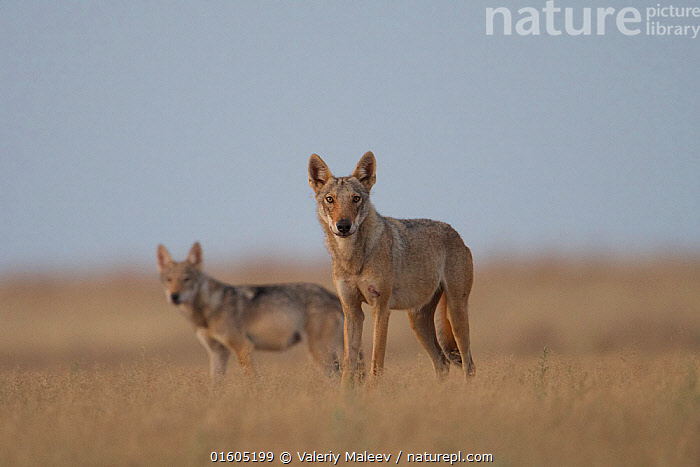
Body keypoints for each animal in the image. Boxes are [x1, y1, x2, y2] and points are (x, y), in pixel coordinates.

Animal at [156, 242, 345, 380]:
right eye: (169, 280)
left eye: (187, 279)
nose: (174, 296)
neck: (207, 309)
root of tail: (334, 297)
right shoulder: (218, 353)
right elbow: (215, 385)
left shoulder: (243, 347)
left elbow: (253, 381)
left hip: (320, 353)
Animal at [308, 151, 475, 385]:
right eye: (330, 199)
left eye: (356, 199)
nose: (343, 226)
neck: (353, 258)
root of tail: (456, 233)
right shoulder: (351, 310)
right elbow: (349, 363)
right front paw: (345, 393)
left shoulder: (381, 307)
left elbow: (376, 362)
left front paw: (373, 392)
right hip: (417, 321)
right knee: (442, 363)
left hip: (456, 313)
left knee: (468, 364)